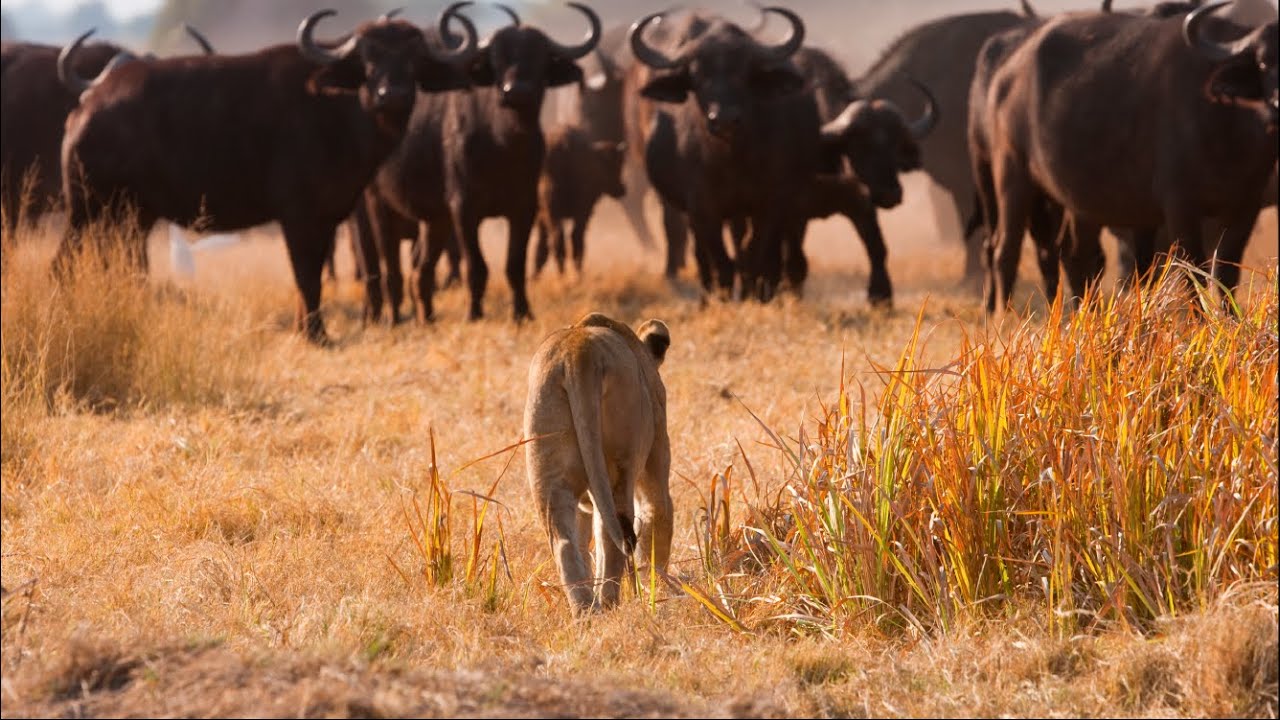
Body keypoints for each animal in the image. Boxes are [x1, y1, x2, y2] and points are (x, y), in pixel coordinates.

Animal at [523, 312, 672, 614]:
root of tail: (577, 353)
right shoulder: (657, 454)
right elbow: (658, 514)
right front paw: (658, 588)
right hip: (619, 466)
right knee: (614, 536)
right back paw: (609, 605)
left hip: (549, 472)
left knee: (565, 543)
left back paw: (586, 611)